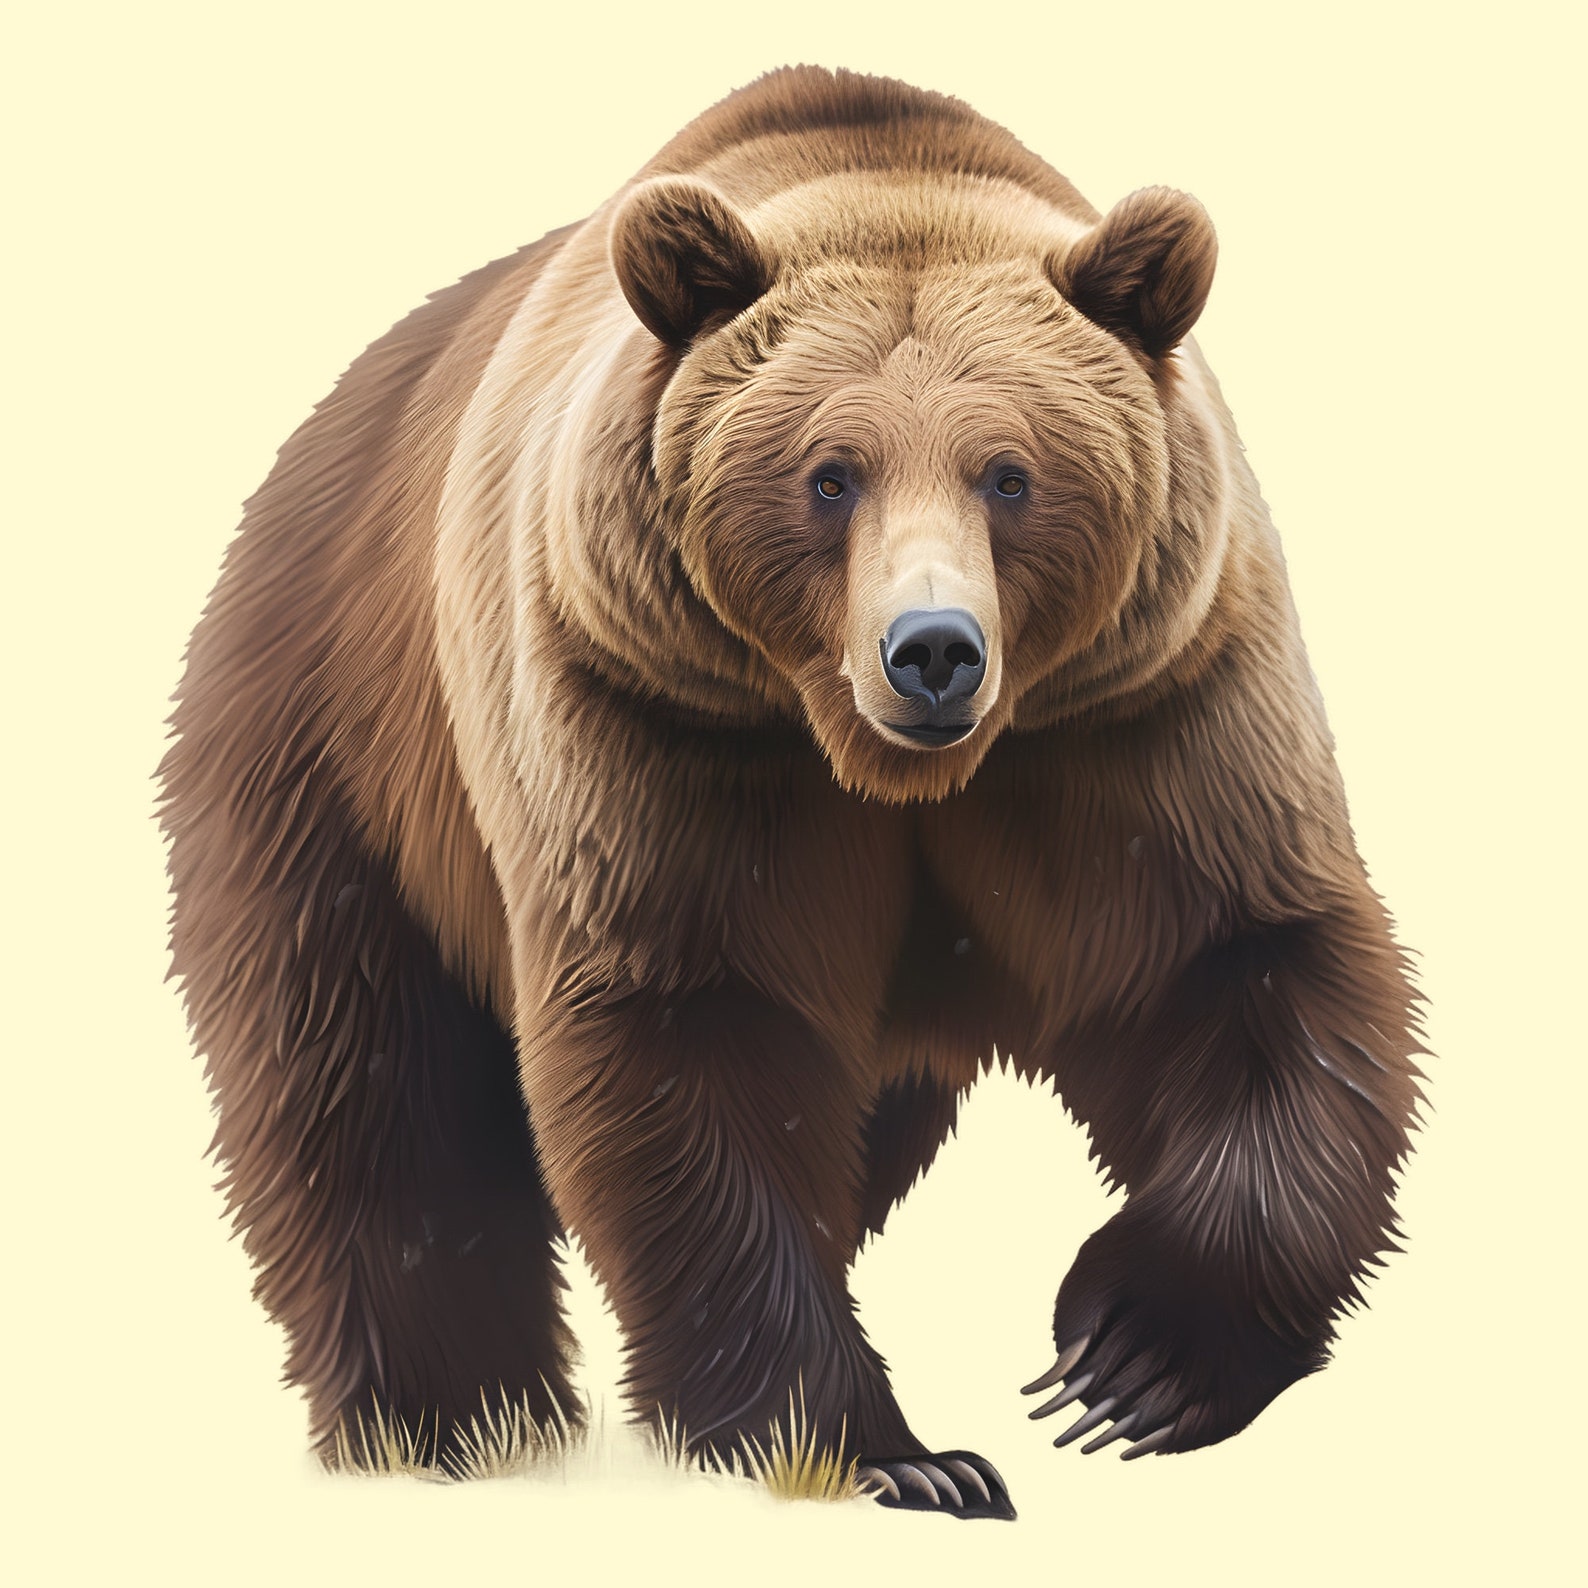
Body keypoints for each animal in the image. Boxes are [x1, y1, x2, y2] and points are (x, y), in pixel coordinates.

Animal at [159, 65, 1423, 1518]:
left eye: (1011, 472)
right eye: (829, 473)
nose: (932, 650)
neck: (893, 772)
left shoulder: (1141, 713)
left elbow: (1239, 960)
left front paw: (1125, 1363)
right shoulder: (663, 722)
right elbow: (690, 1034)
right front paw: (893, 1455)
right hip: (332, 741)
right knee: (360, 1079)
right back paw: (449, 1423)